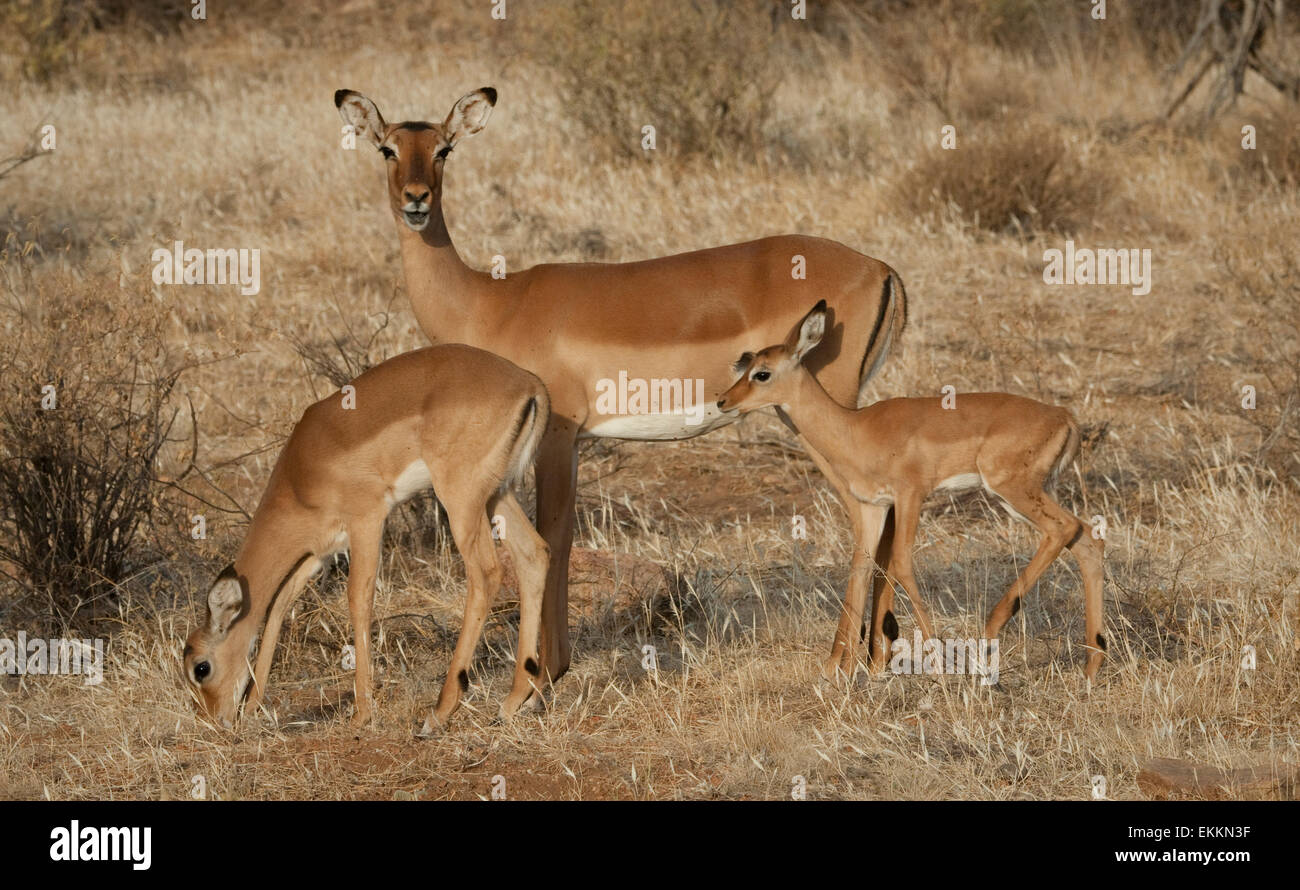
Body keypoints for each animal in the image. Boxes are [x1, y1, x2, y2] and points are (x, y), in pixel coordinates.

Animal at [182, 345, 551, 733]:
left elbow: (358, 599)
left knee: (486, 572)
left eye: (201, 668)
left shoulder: (367, 521)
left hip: (461, 501)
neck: (300, 478)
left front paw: (361, 713)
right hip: (498, 494)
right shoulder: (320, 551)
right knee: (534, 555)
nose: (212, 721)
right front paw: (254, 706)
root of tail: (529, 384)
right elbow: (280, 603)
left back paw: (439, 712)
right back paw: (514, 701)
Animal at [335, 87, 908, 691]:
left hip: (817, 417)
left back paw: (840, 661)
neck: (490, 303)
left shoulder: (557, 435)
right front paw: (554, 668)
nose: (416, 201)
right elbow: (560, 539)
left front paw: (543, 675)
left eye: (444, 149)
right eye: (387, 148)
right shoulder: (570, 442)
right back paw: (877, 656)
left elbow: (552, 535)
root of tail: (880, 268)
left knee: (867, 515)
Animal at [717, 302, 1106, 681]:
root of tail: (1064, 417)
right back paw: (1090, 666)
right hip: (1025, 495)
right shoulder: (873, 506)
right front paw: (835, 672)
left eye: (762, 373)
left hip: (1013, 489)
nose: (722, 401)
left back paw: (991, 633)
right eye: (746, 365)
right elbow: (861, 566)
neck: (855, 429)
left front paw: (940, 663)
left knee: (1065, 528)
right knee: (1087, 539)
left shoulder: (910, 495)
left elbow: (901, 563)